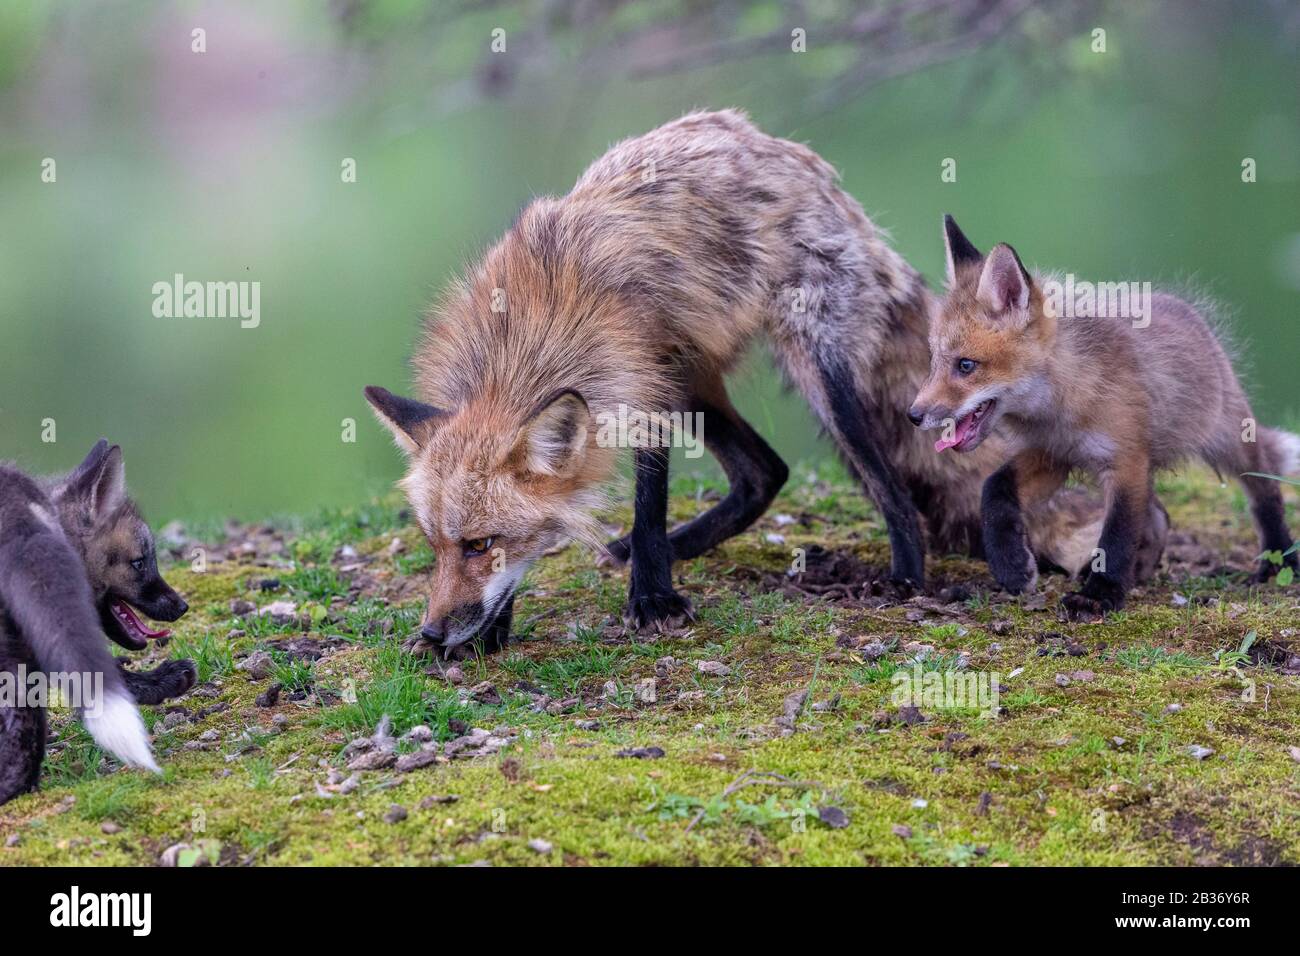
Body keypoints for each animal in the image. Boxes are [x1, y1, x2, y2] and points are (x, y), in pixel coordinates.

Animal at [364, 109, 1167, 657]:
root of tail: (800, 160)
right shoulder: (643, 389)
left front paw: (652, 600)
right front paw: (491, 631)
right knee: (765, 473)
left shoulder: (643, 393)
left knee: (892, 494)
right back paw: (676, 545)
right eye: (437, 546)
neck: (535, 326)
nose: (432, 634)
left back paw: (903, 582)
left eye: (480, 543)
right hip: (694, 375)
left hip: (821, 381)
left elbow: (648, 505)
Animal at [909, 215, 1300, 619]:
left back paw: (1278, 559)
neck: (1060, 408)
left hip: (1227, 436)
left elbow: (1117, 535)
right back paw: (1140, 568)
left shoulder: (1125, 461)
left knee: (1263, 487)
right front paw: (1011, 565)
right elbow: (994, 489)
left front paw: (1100, 594)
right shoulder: (1052, 455)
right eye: (933, 362)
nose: (914, 415)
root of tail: (1187, 312)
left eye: (965, 365)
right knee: (1159, 516)